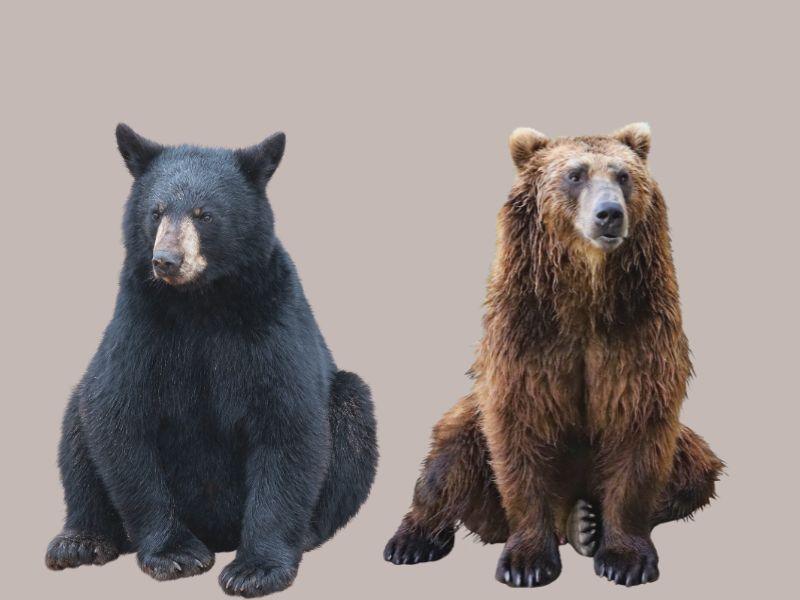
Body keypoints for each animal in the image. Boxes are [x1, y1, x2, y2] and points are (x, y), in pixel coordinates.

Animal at [45, 124, 378, 597]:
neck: (200, 303)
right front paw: (175, 554)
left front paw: (255, 569)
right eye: (156, 211)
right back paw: (81, 541)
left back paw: (307, 534)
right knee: (78, 420)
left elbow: (287, 426)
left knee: (352, 413)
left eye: (204, 214)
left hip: (347, 403)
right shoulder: (139, 325)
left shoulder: (272, 323)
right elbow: (119, 418)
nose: (166, 261)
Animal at [384, 123, 723, 587]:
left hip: (687, 451)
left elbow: (637, 429)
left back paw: (585, 524)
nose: (609, 214)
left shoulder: (637, 334)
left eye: (623, 176)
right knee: (446, 462)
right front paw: (526, 564)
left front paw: (625, 559)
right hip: (469, 426)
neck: (586, 296)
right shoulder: (528, 337)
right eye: (575, 175)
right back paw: (412, 541)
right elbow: (521, 431)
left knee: (696, 471)